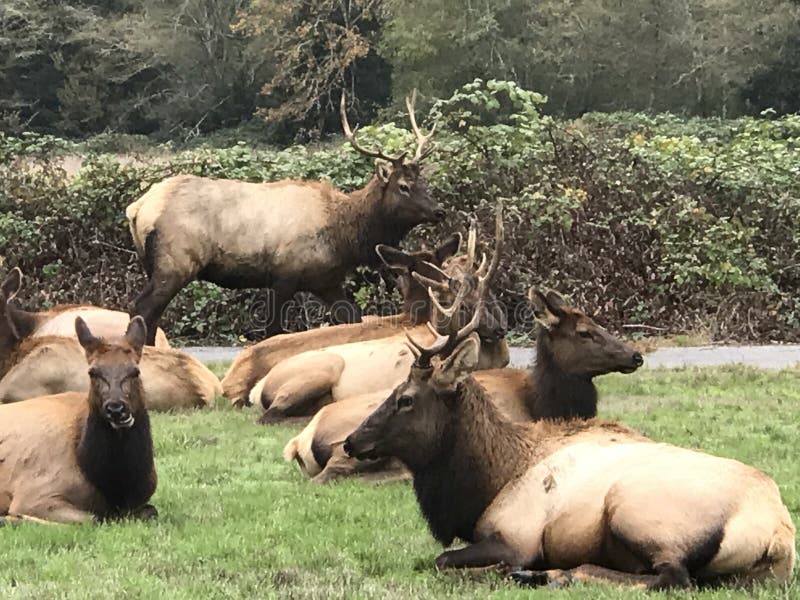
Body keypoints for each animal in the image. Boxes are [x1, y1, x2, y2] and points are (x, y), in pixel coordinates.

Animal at [0, 317, 158, 524]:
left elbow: (151, 511)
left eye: (135, 371)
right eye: (93, 372)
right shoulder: (33, 494)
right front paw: (13, 517)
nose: (116, 408)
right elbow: (93, 518)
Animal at [127, 91, 443, 345]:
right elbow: (273, 330)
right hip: (175, 263)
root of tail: (137, 209)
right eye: (403, 186)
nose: (439, 210)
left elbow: (352, 316)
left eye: (423, 181)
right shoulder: (283, 275)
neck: (345, 238)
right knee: (141, 307)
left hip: (155, 265)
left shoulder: (326, 280)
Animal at [250, 208, 508, 424]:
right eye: (462, 306)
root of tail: (258, 387)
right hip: (315, 373)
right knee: (270, 416)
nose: (500, 328)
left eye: (488, 296)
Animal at [283, 288, 643, 483]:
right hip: (358, 445)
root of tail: (300, 440)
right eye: (584, 332)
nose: (636, 355)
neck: (545, 402)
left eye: (597, 323)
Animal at [343, 299, 795, 590]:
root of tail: (778, 534)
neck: (487, 481)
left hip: (636, 512)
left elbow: (440, 561)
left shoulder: (516, 538)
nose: (351, 441)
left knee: (672, 578)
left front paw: (508, 571)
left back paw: (553, 574)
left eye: (405, 399)